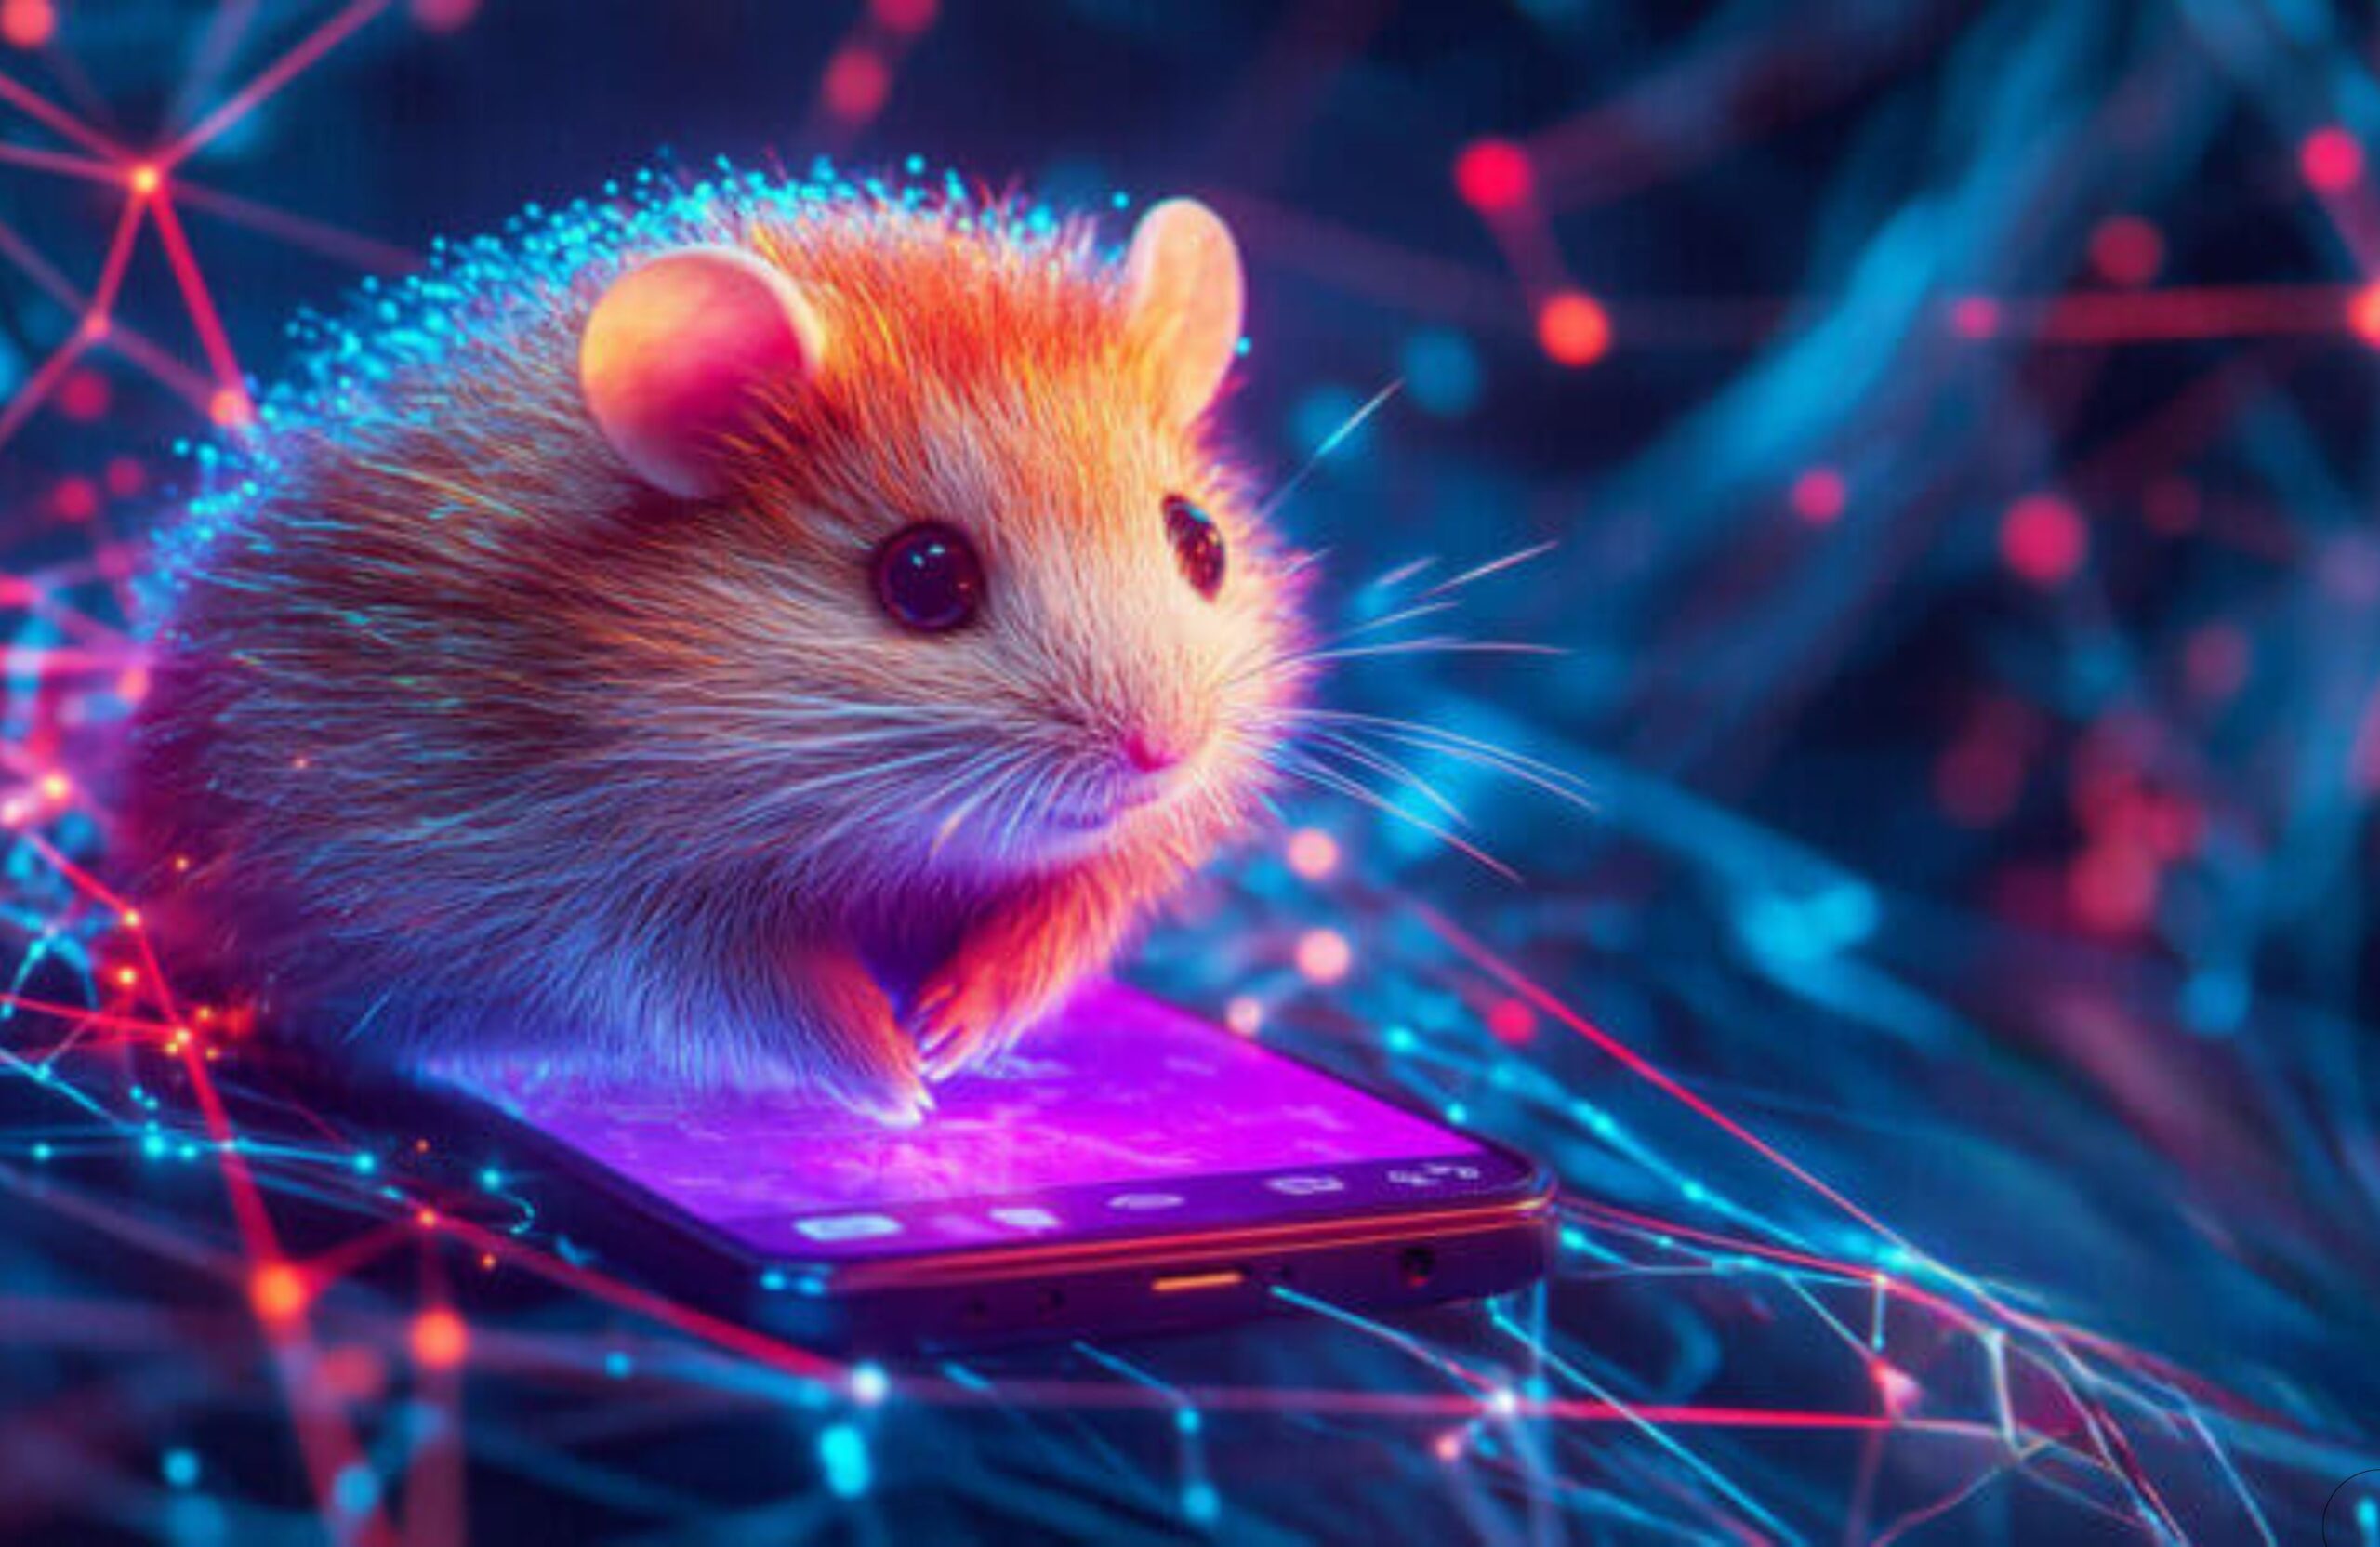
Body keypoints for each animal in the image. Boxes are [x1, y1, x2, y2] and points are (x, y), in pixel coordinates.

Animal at [127, 168, 1309, 1123]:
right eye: (925, 577)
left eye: (1201, 540)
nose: (1165, 755)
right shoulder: (583, 889)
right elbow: (753, 993)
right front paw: (902, 1078)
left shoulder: (1115, 857)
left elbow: (1068, 911)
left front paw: (958, 1022)